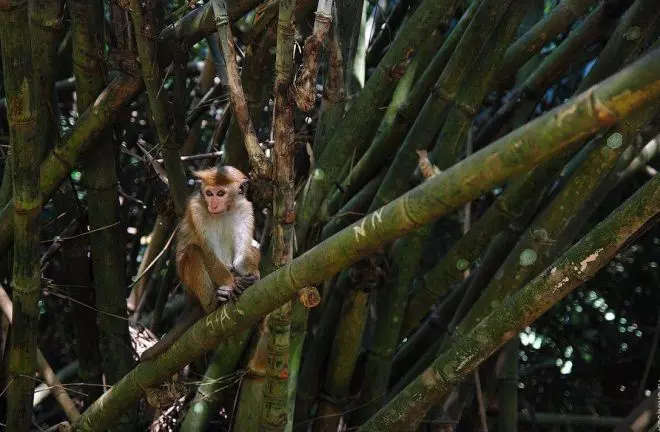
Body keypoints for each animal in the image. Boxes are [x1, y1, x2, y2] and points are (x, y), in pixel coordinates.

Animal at [141, 165, 260, 362]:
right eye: (209, 193)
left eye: (221, 193)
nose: (213, 204)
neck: (225, 211)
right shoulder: (196, 211)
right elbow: (209, 254)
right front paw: (230, 286)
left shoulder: (245, 209)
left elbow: (242, 256)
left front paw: (252, 278)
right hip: (191, 287)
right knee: (192, 252)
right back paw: (214, 302)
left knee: (254, 249)